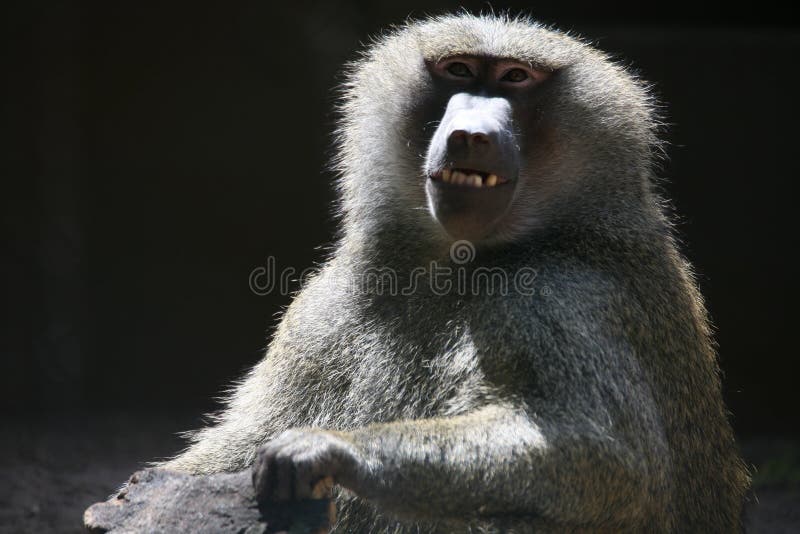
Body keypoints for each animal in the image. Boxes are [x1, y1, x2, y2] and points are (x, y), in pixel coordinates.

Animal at [160, 13, 750, 532]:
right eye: (460, 70)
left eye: (515, 77)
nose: (471, 134)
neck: (457, 261)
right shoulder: (323, 310)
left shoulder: (560, 295)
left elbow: (610, 456)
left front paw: (333, 449)